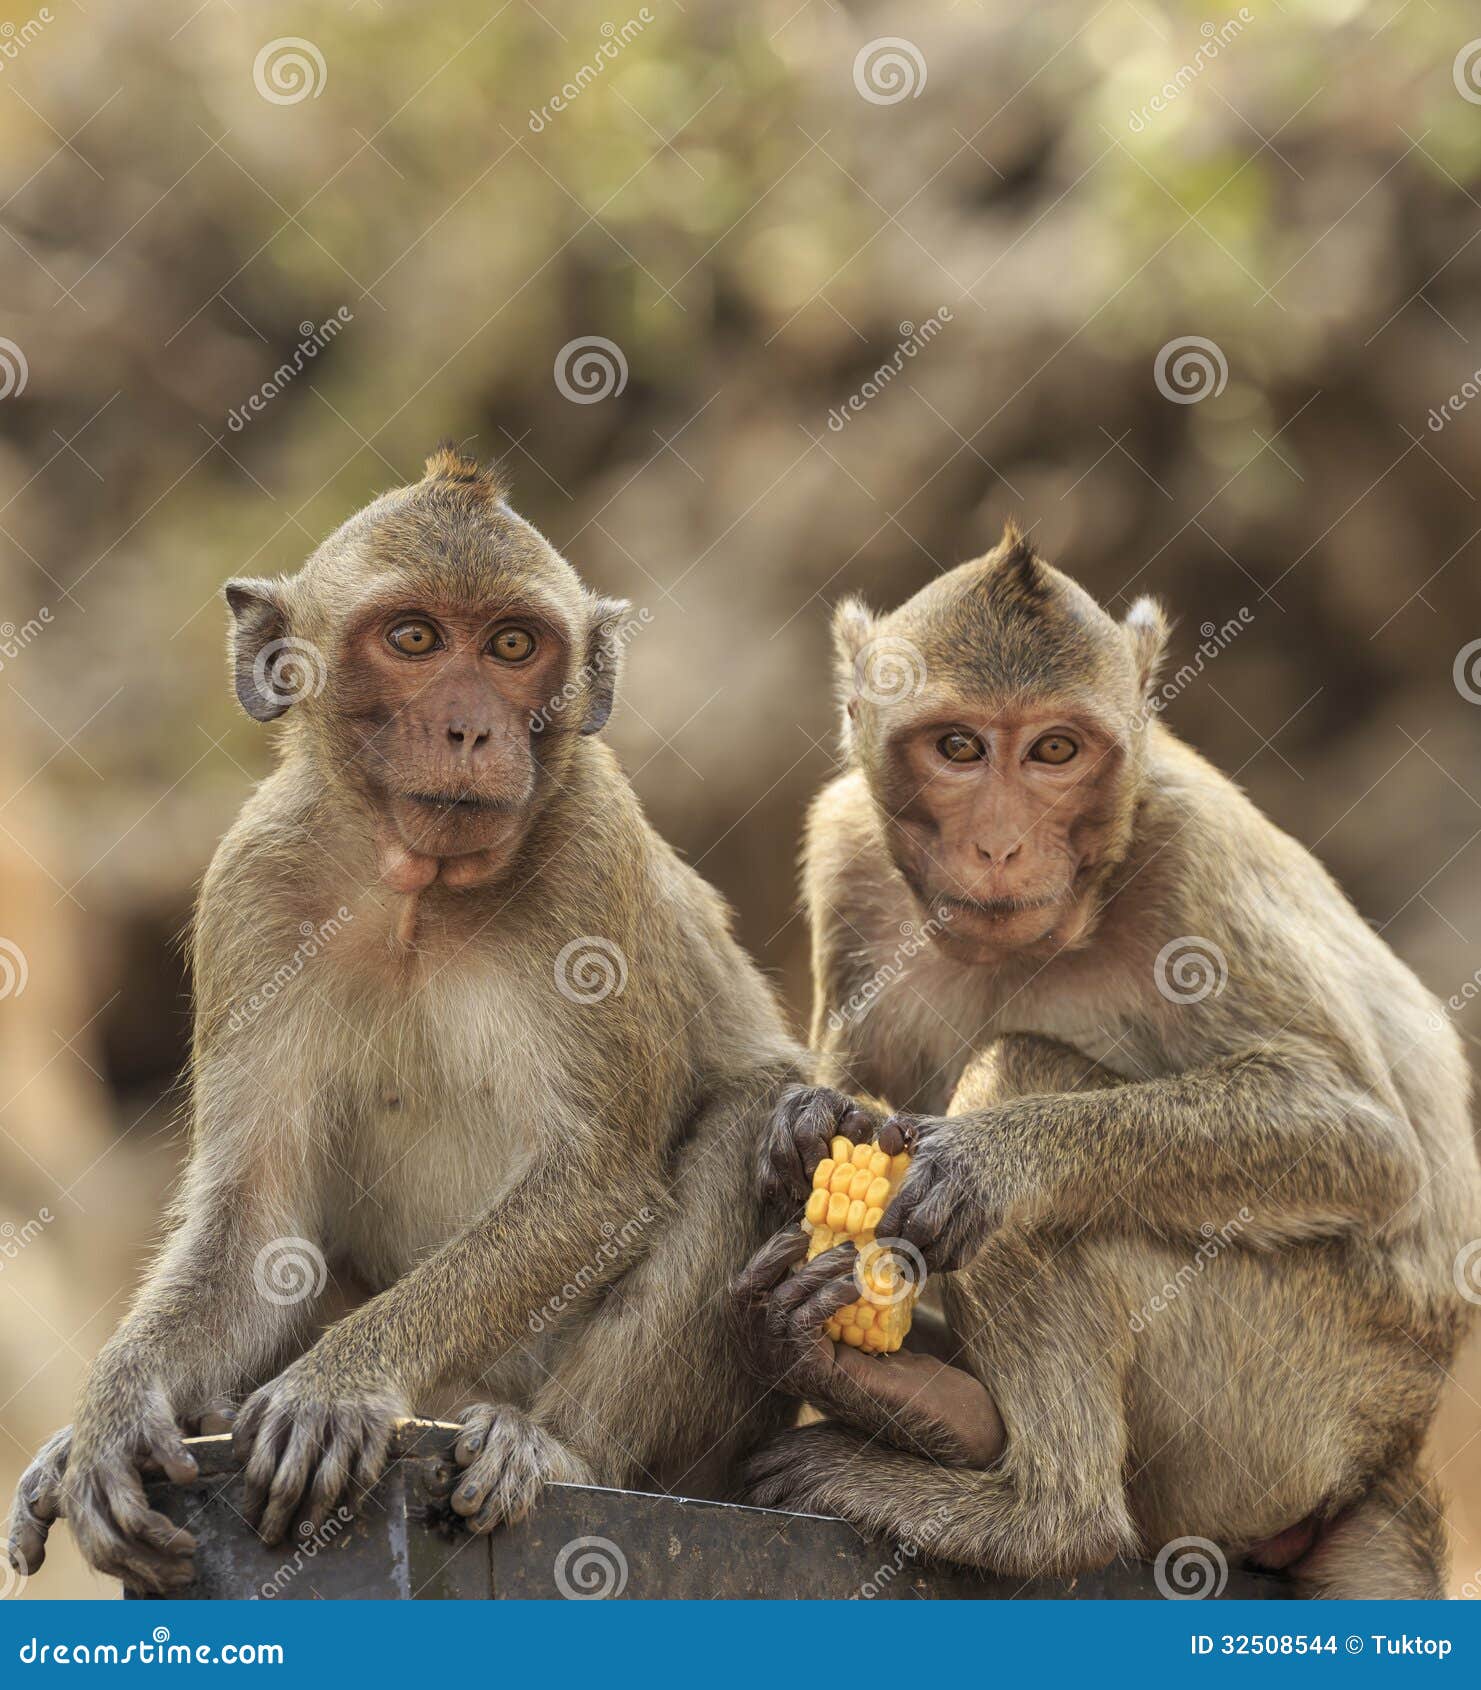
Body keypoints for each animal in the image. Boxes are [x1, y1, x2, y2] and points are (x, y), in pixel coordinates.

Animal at [7, 448, 803, 1594]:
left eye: (513, 646)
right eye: (414, 638)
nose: (469, 728)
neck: (417, 892)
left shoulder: (591, 852)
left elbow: (596, 1184)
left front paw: (341, 1379)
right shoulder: (253, 882)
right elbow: (259, 1221)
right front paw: (113, 1416)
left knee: (757, 1113)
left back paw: (552, 1444)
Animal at [733, 523, 1480, 1599]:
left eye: (1055, 750)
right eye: (958, 747)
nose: (1001, 845)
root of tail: (1387, 1451)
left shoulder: (1190, 854)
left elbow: (1366, 1143)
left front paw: (991, 1161)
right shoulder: (845, 849)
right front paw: (811, 1119)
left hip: (1289, 1397)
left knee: (1019, 1074)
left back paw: (1037, 1515)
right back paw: (911, 1398)